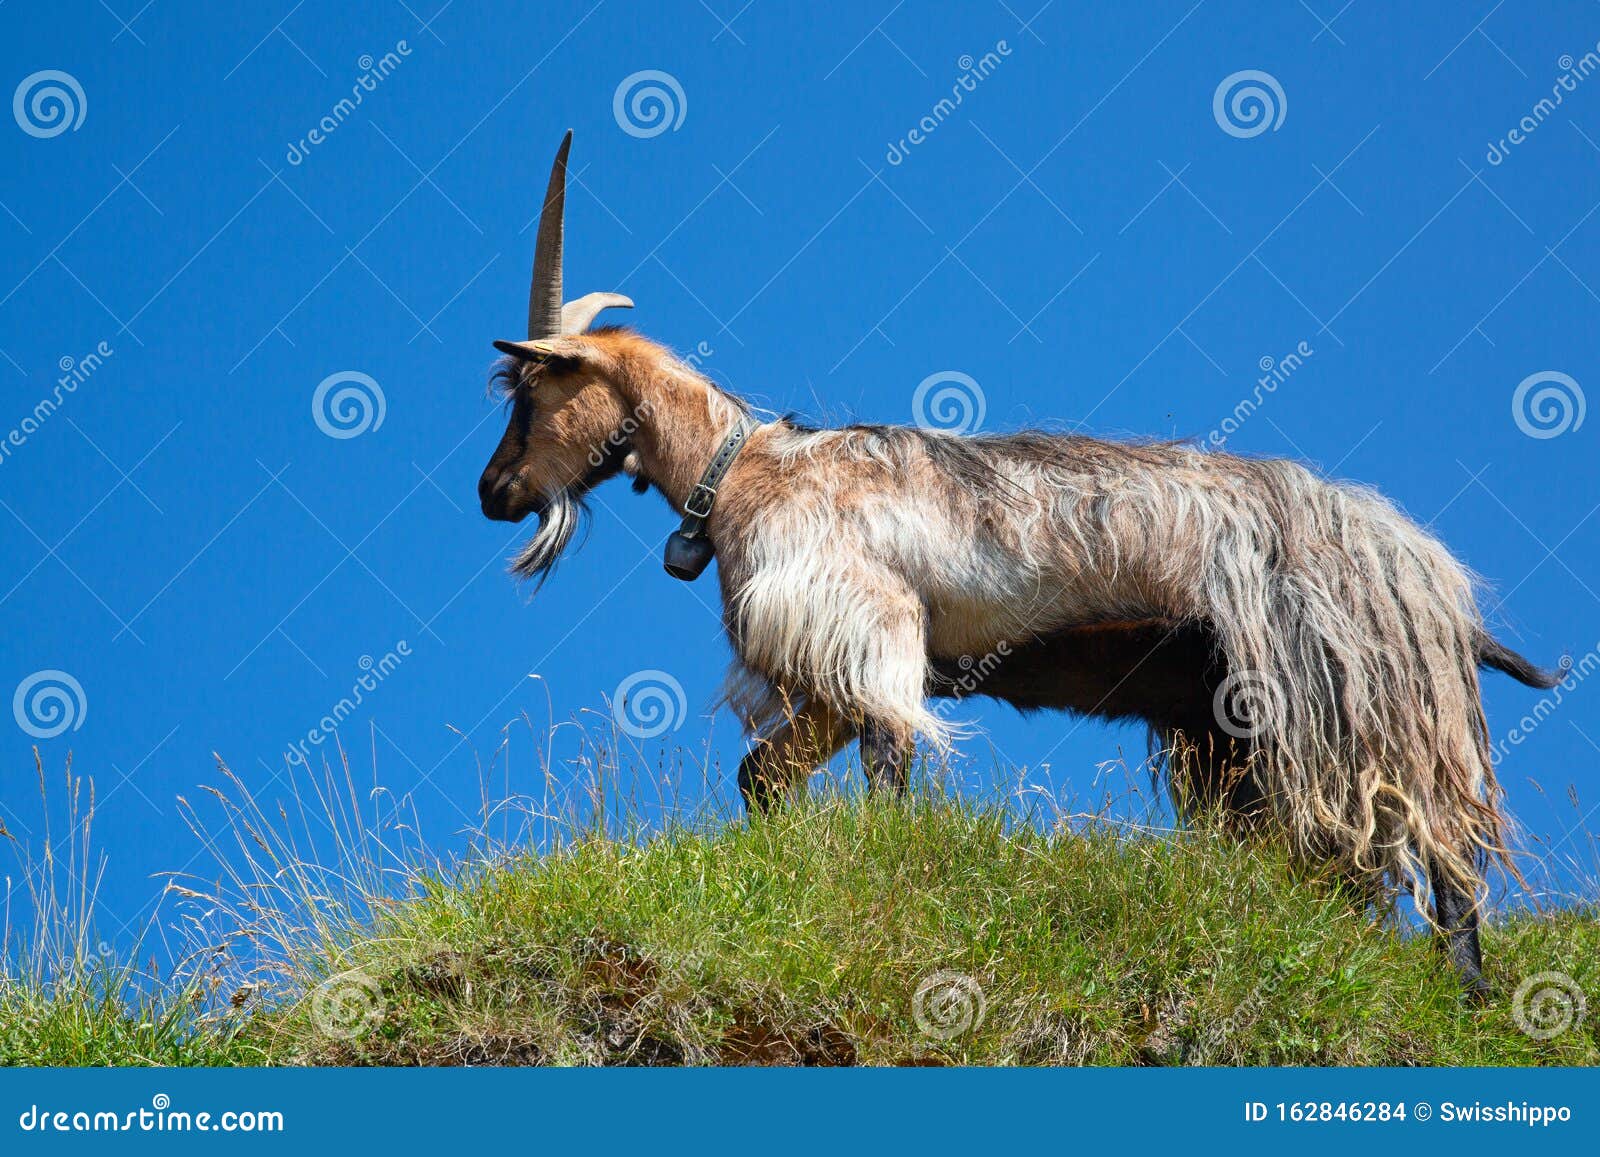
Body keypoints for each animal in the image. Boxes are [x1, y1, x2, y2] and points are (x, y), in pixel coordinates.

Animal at [476, 133, 1561, 997]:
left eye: (533, 387)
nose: (493, 490)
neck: (745, 467)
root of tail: (1427, 572)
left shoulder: (865, 635)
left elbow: (886, 764)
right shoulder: (829, 678)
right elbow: (762, 778)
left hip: (1367, 706)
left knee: (1447, 853)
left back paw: (1468, 996)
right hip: (1235, 729)